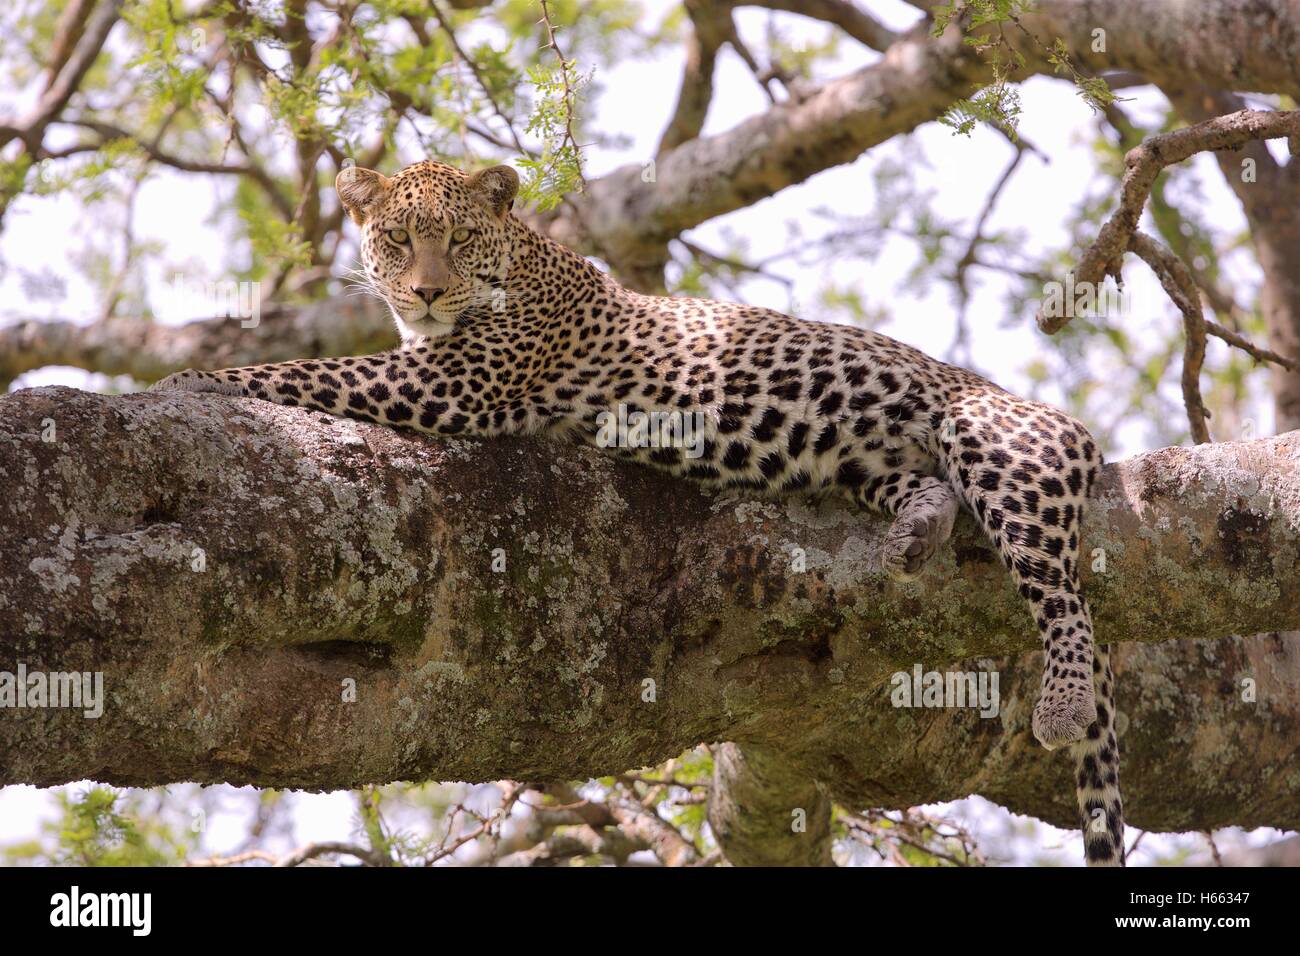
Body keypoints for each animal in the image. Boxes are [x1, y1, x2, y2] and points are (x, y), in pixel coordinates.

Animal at [152, 159, 1125, 866]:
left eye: (457, 239)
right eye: (395, 238)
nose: (424, 292)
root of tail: (1074, 428)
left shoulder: (448, 382)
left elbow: (299, 372)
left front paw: (173, 383)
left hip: (998, 444)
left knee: (1060, 593)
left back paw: (1063, 701)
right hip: (873, 462)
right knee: (938, 499)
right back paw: (918, 531)